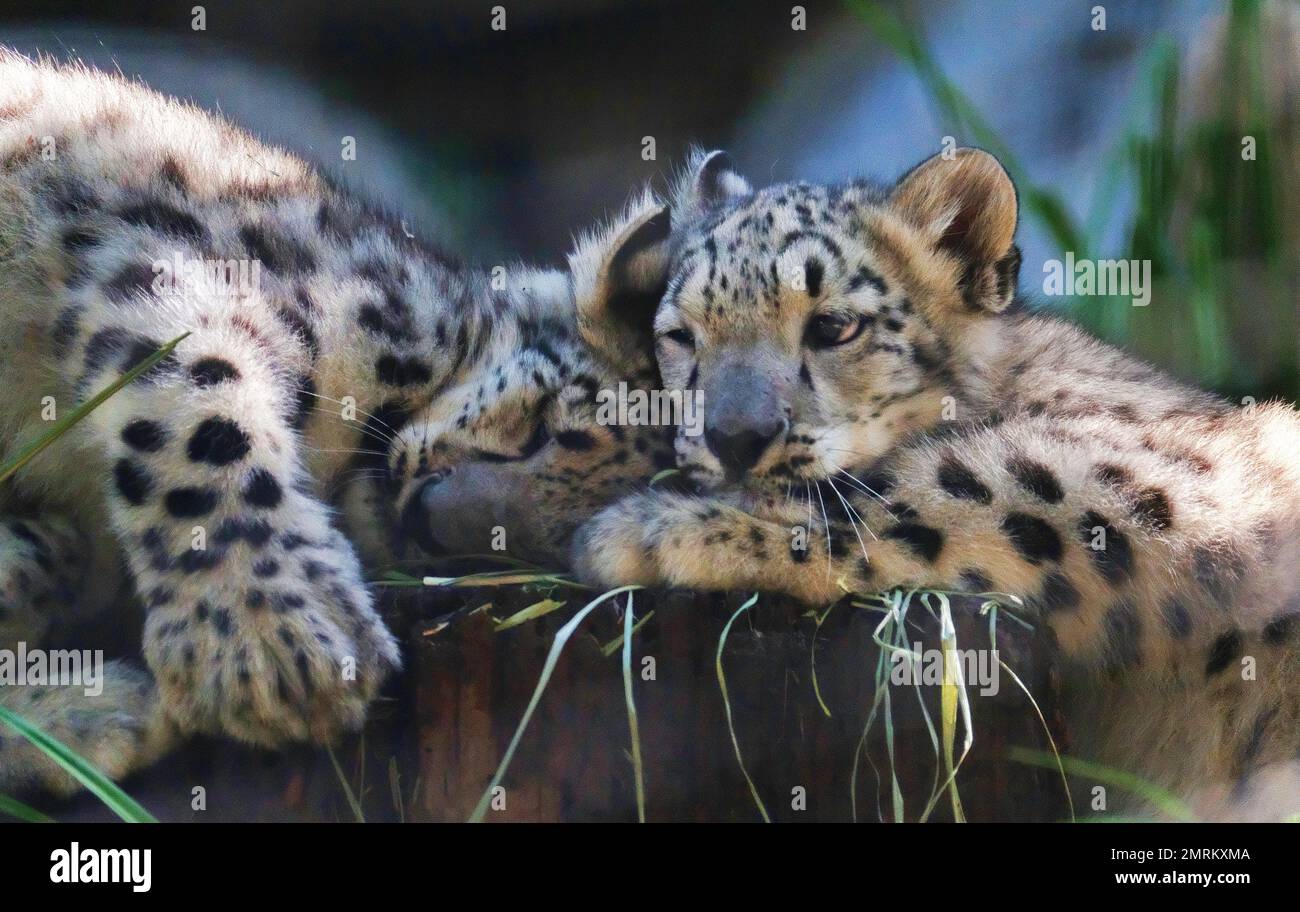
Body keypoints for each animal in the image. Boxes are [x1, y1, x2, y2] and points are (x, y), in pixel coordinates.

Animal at [0, 49, 675, 795]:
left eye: (544, 548)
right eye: (542, 426)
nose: (430, 519)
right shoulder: (163, 264)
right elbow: (207, 403)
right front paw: (275, 646)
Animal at [572, 146, 1300, 818]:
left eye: (833, 325)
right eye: (679, 334)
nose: (735, 437)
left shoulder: (1184, 472)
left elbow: (944, 480)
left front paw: (649, 531)